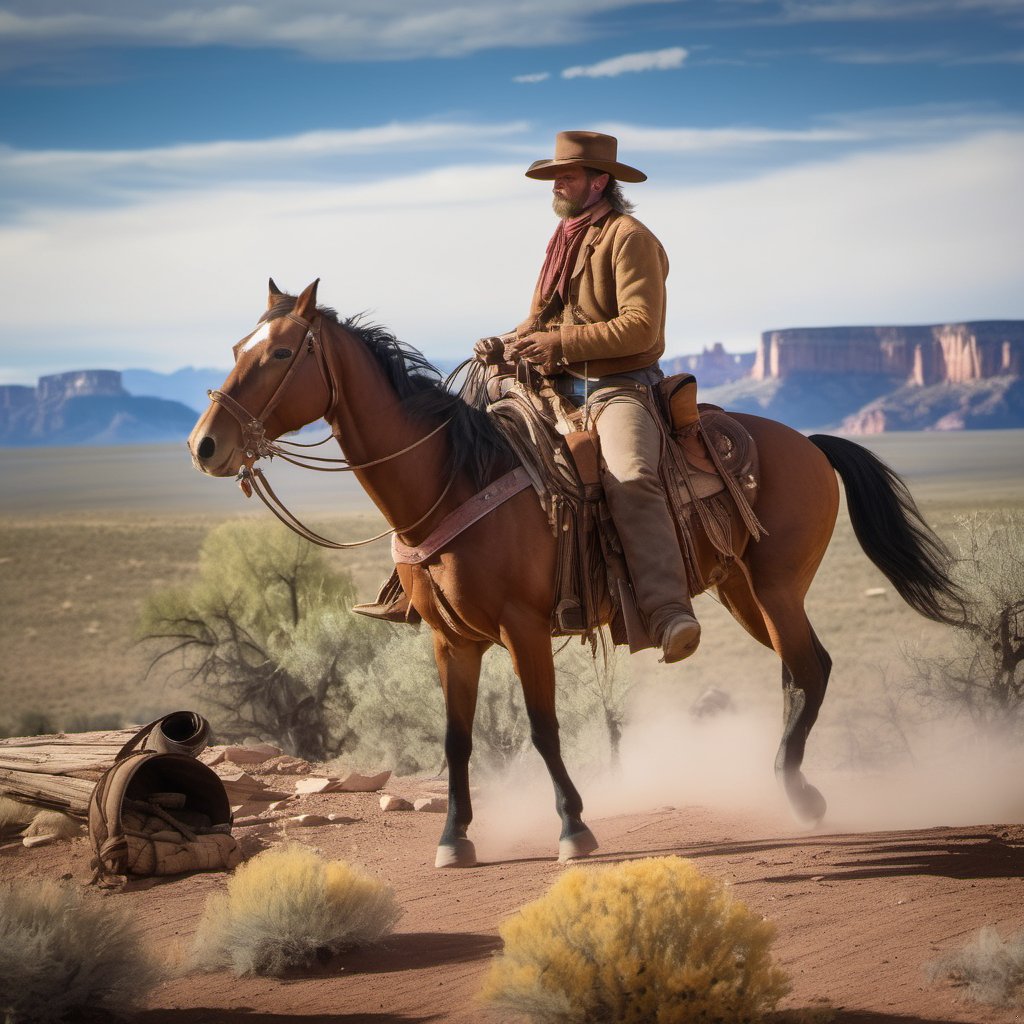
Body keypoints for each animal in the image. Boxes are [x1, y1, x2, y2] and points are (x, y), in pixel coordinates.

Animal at [188, 282, 962, 872]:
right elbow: (456, 739)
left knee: (811, 667)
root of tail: (808, 442)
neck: (452, 478)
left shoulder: (525, 628)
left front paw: (573, 828)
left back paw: (797, 794)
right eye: (236, 350)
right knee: (802, 670)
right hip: (743, 591)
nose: (205, 445)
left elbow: (543, 728)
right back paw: (790, 786)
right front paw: (454, 840)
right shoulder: (450, 640)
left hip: (774, 588)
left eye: (281, 352)